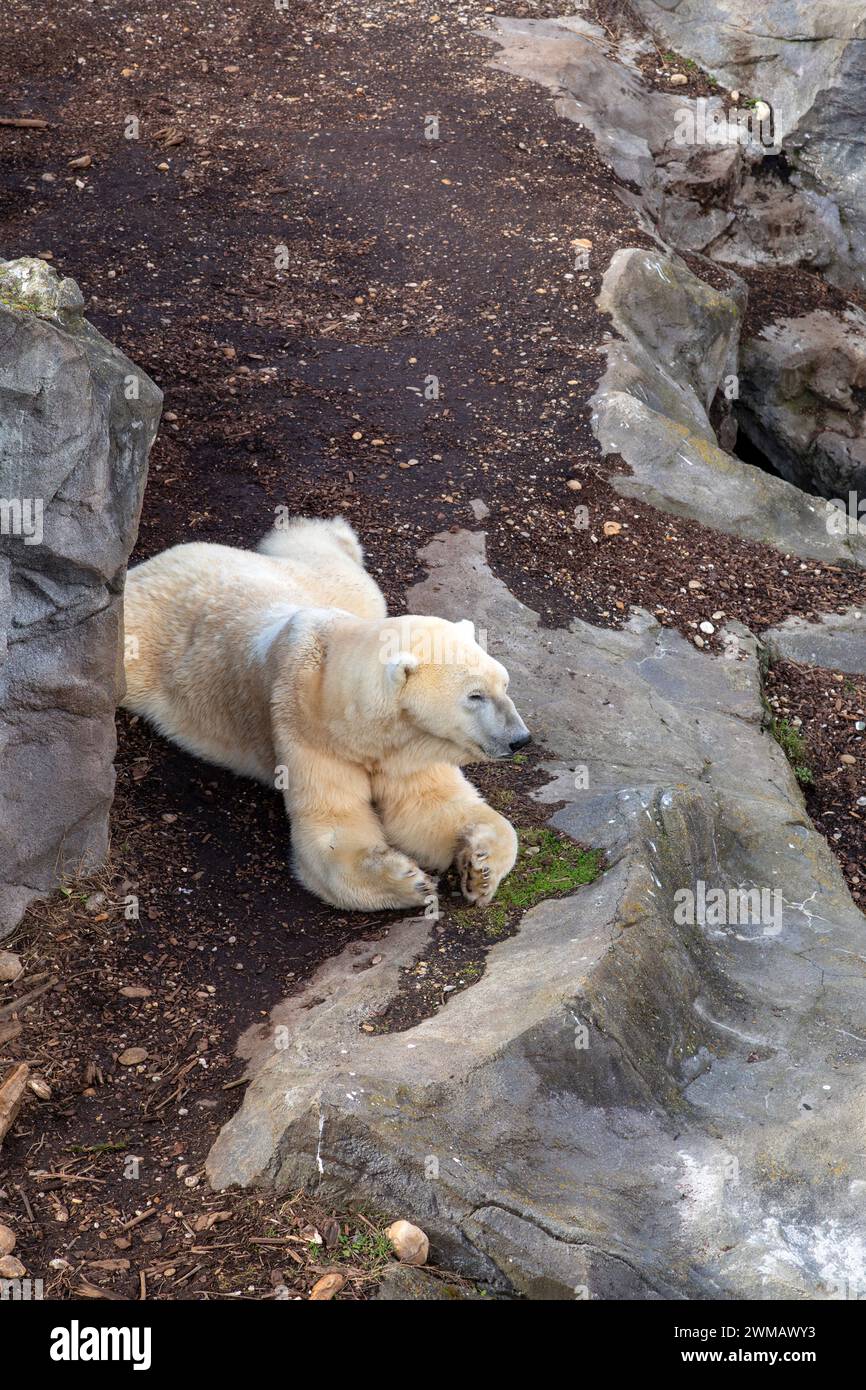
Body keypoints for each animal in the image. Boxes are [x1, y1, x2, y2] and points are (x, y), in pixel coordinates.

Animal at [121, 515, 531, 912]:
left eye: (505, 684)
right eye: (475, 696)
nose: (520, 739)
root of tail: (157, 563)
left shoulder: (406, 750)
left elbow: (431, 807)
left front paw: (479, 868)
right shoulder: (304, 730)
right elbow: (332, 825)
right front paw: (409, 881)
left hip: (326, 586)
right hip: (142, 642)